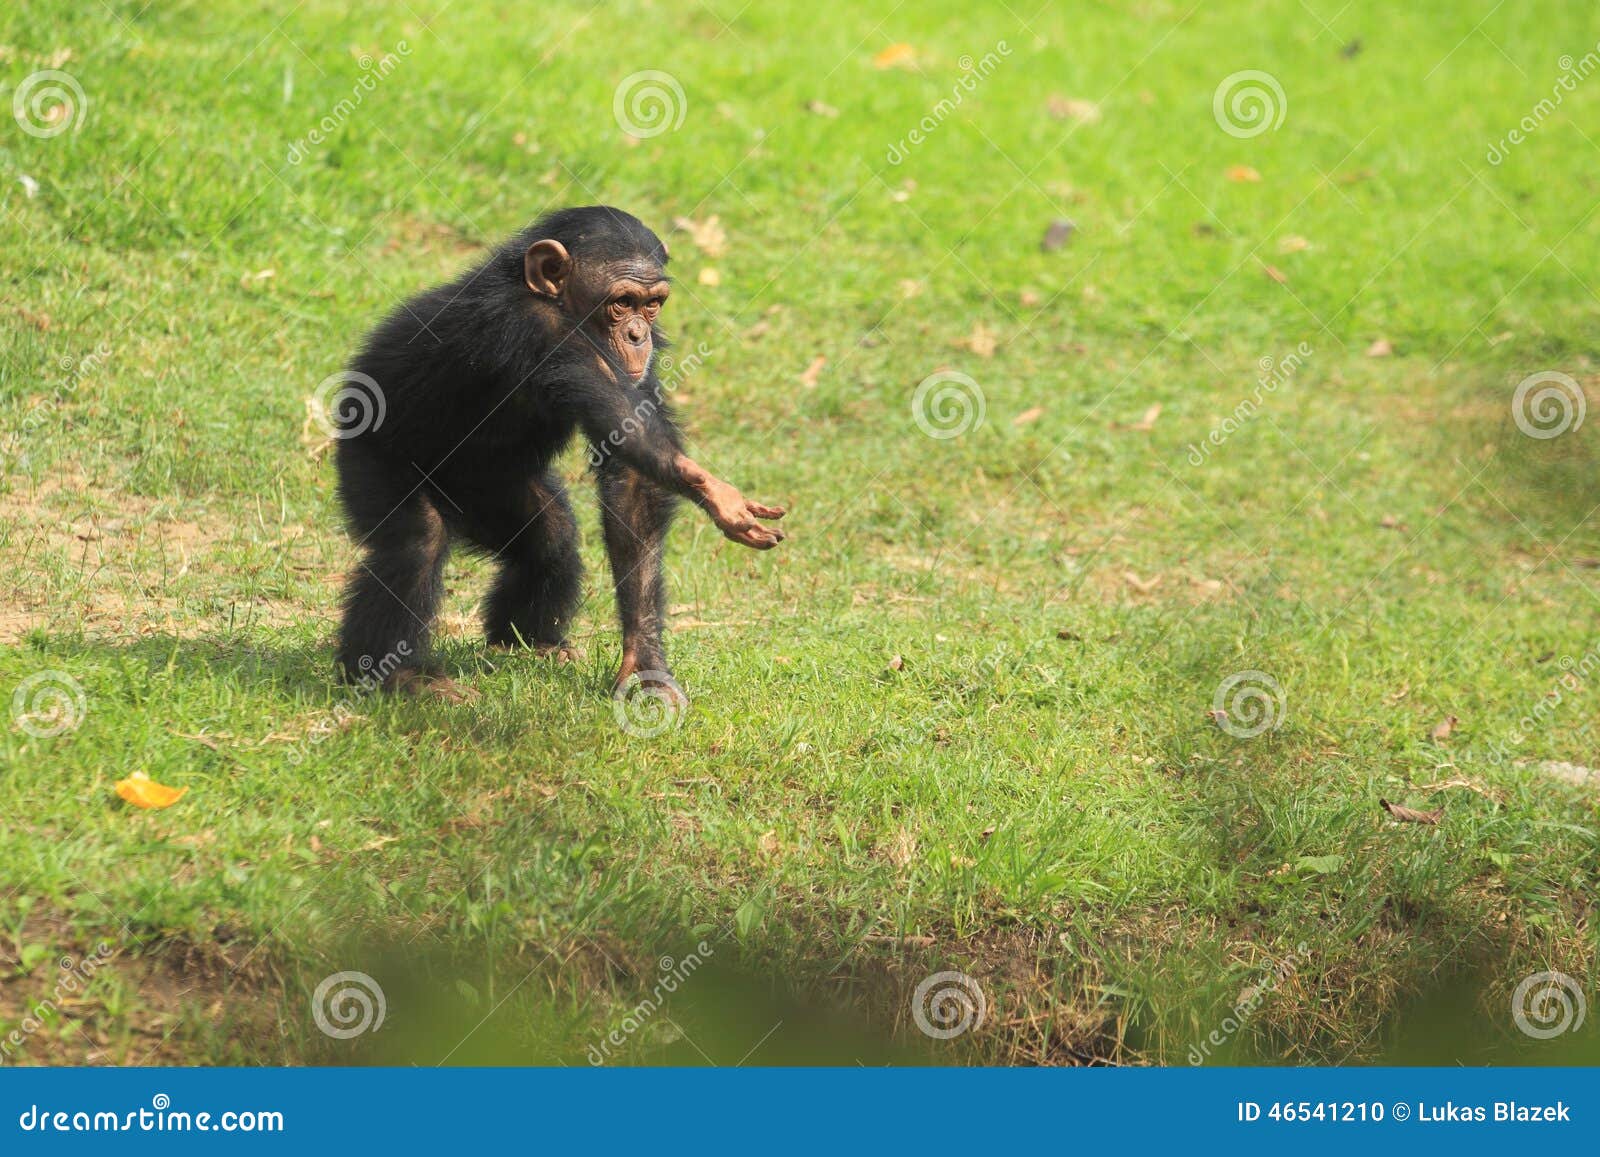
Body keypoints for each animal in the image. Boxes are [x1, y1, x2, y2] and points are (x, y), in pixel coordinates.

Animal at [330, 205, 785, 700]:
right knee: (415, 544)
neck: (558, 304)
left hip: (492, 490)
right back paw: (390, 673)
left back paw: (527, 642)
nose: (638, 335)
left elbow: (631, 475)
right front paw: (712, 490)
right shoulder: (538, 329)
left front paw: (644, 662)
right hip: (370, 459)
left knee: (552, 537)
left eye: (652, 304)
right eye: (621, 302)